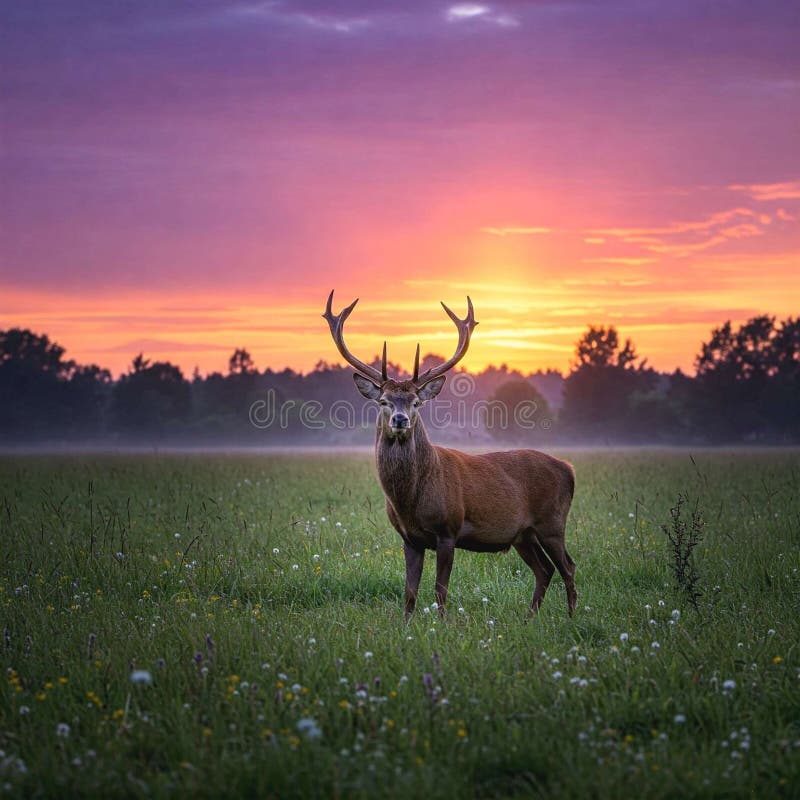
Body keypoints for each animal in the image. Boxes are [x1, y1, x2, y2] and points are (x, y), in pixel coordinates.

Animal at [323, 291, 577, 620]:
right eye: (383, 401)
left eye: (416, 402)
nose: (400, 420)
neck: (409, 500)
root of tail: (569, 469)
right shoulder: (410, 539)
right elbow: (409, 592)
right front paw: (407, 625)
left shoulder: (448, 529)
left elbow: (440, 590)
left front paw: (441, 624)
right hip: (524, 534)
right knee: (545, 570)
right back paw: (530, 617)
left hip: (552, 522)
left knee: (568, 566)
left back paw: (571, 616)